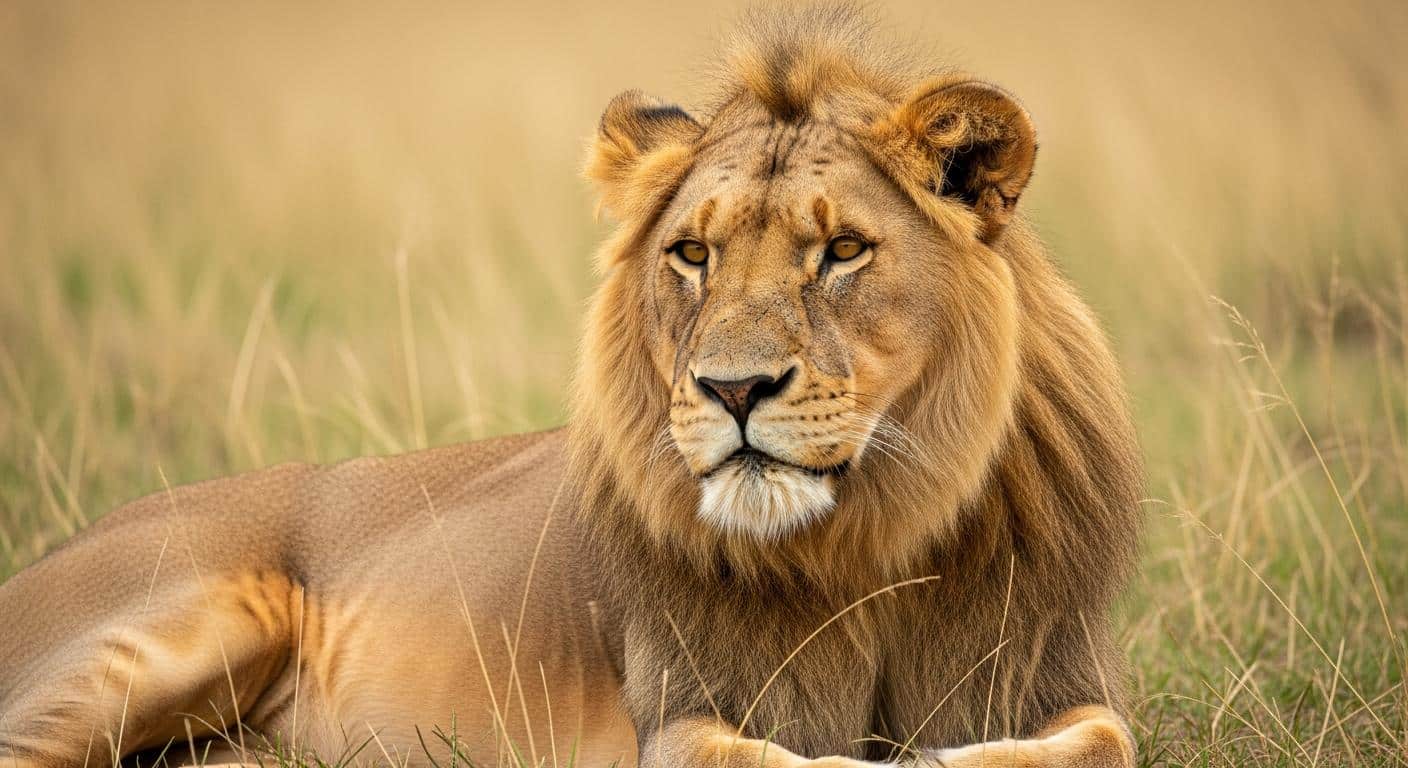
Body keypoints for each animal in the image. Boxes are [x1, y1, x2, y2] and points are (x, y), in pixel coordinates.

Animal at [0, 6, 1143, 768]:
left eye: (844, 250)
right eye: (692, 254)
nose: (734, 390)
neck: (870, 540)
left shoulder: (1061, 674)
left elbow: (1105, 738)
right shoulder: (675, 712)